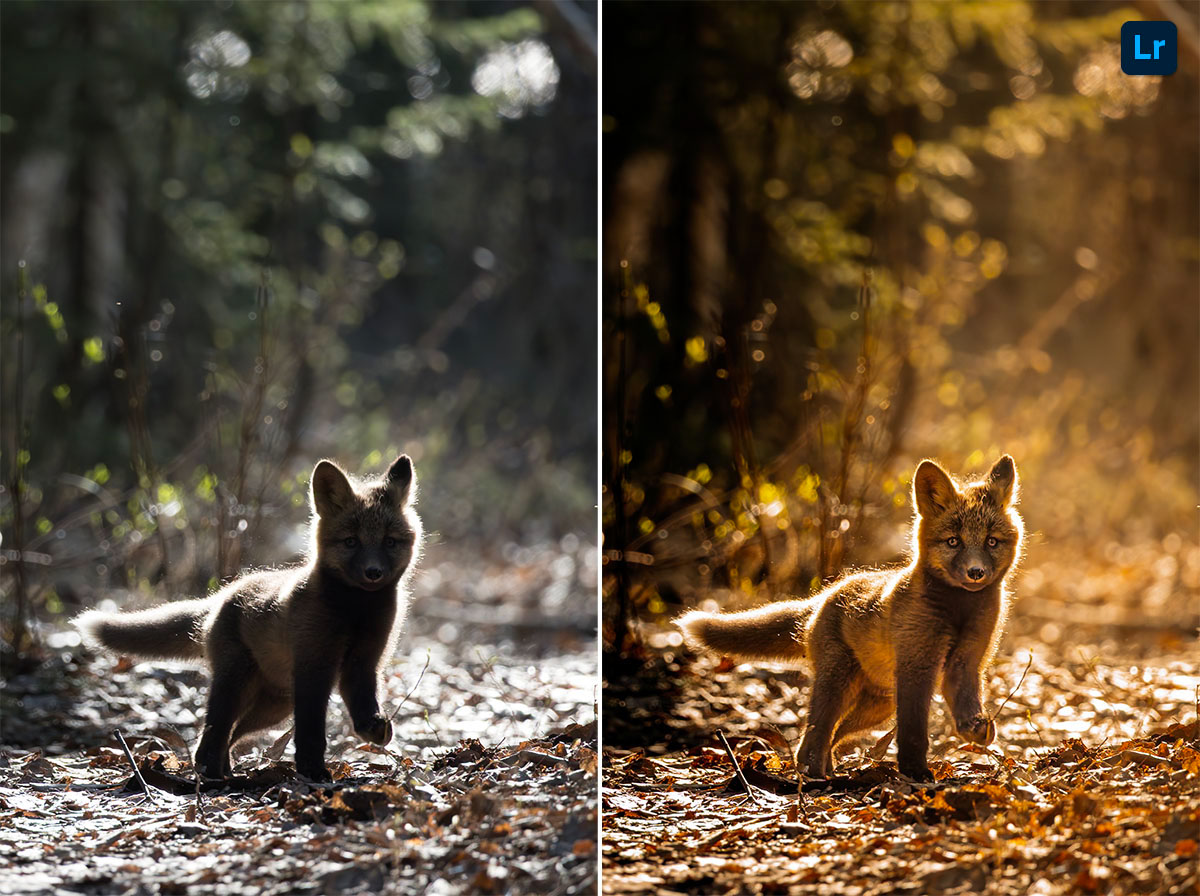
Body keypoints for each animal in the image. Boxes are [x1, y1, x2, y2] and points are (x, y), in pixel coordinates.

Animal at [75, 454, 422, 782]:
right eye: (351, 541)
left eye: (389, 541)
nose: (373, 573)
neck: (356, 612)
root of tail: (221, 596)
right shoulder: (313, 668)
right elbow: (310, 732)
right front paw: (312, 772)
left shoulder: (363, 663)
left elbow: (366, 708)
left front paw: (375, 729)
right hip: (238, 684)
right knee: (213, 732)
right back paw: (211, 774)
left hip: (274, 705)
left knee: (232, 735)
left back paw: (226, 771)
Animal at [678, 455, 1022, 782]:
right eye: (953, 541)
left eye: (991, 541)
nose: (976, 572)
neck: (959, 611)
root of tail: (824, 596)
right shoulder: (916, 668)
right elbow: (913, 732)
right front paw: (915, 772)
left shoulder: (966, 662)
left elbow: (969, 705)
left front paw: (976, 729)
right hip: (840, 684)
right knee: (814, 734)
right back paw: (814, 776)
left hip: (877, 706)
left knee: (833, 735)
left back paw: (828, 771)